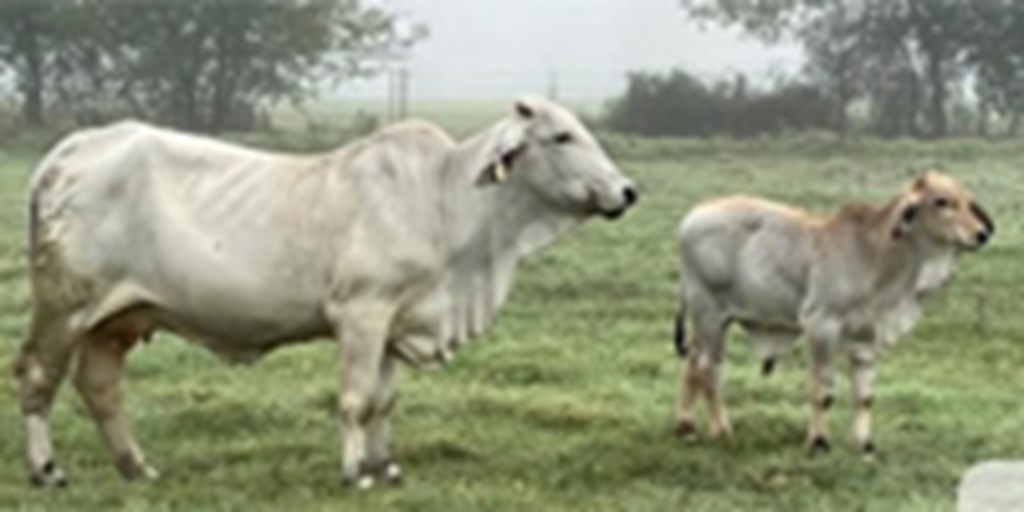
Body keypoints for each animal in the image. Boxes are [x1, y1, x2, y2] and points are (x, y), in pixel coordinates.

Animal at [13, 96, 638, 489]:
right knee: (37, 377)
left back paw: (136, 468)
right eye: (561, 136)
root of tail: (68, 152)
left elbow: (385, 399)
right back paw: (47, 470)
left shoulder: (394, 321)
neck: (444, 201)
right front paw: (354, 472)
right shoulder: (362, 314)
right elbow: (357, 398)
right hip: (64, 305)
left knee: (102, 389)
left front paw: (385, 468)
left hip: (113, 320)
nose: (627, 190)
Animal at [672, 171, 993, 454]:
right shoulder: (821, 327)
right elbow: (823, 392)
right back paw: (721, 430)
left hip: (707, 322)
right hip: (709, 316)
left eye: (967, 201)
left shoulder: (866, 341)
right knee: (709, 370)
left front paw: (864, 444)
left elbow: (864, 397)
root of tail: (693, 215)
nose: (981, 234)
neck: (875, 255)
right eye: (941, 202)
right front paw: (818, 441)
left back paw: (686, 427)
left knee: (692, 363)